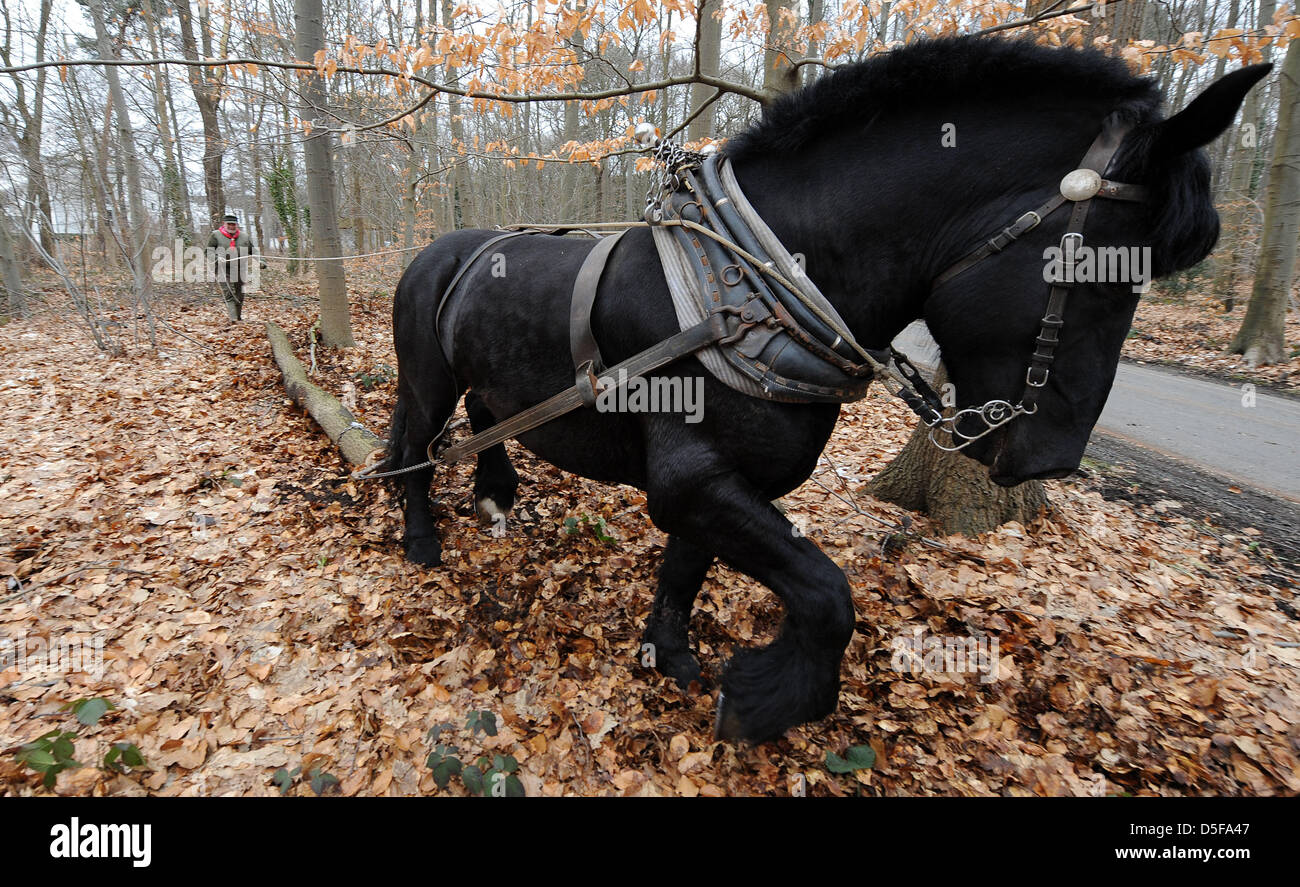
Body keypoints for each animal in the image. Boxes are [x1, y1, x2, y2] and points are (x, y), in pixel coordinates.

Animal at [382, 36, 1269, 743]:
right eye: (1104, 272)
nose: (1051, 459)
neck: (748, 289)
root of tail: (437, 250)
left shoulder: (719, 479)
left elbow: (685, 568)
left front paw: (673, 655)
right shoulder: (693, 477)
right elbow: (826, 592)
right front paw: (765, 699)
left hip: (485, 380)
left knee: (484, 416)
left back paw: (496, 494)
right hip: (424, 379)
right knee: (416, 449)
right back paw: (422, 539)